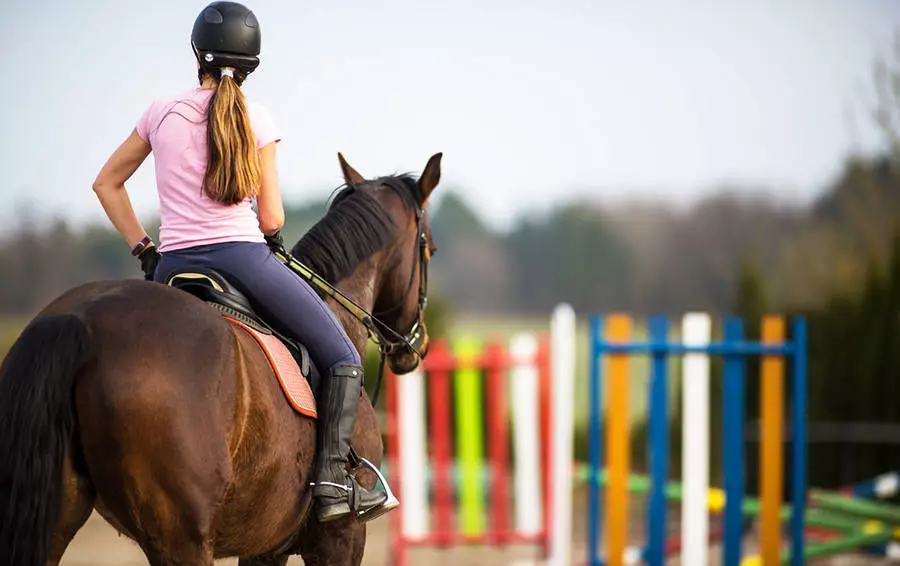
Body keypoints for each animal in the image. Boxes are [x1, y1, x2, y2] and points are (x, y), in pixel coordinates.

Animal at [0, 153, 442, 564]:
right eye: (431, 250)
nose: (416, 346)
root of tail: (80, 319)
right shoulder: (341, 539)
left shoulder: (265, 548)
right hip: (181, 538)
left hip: (56, 521)